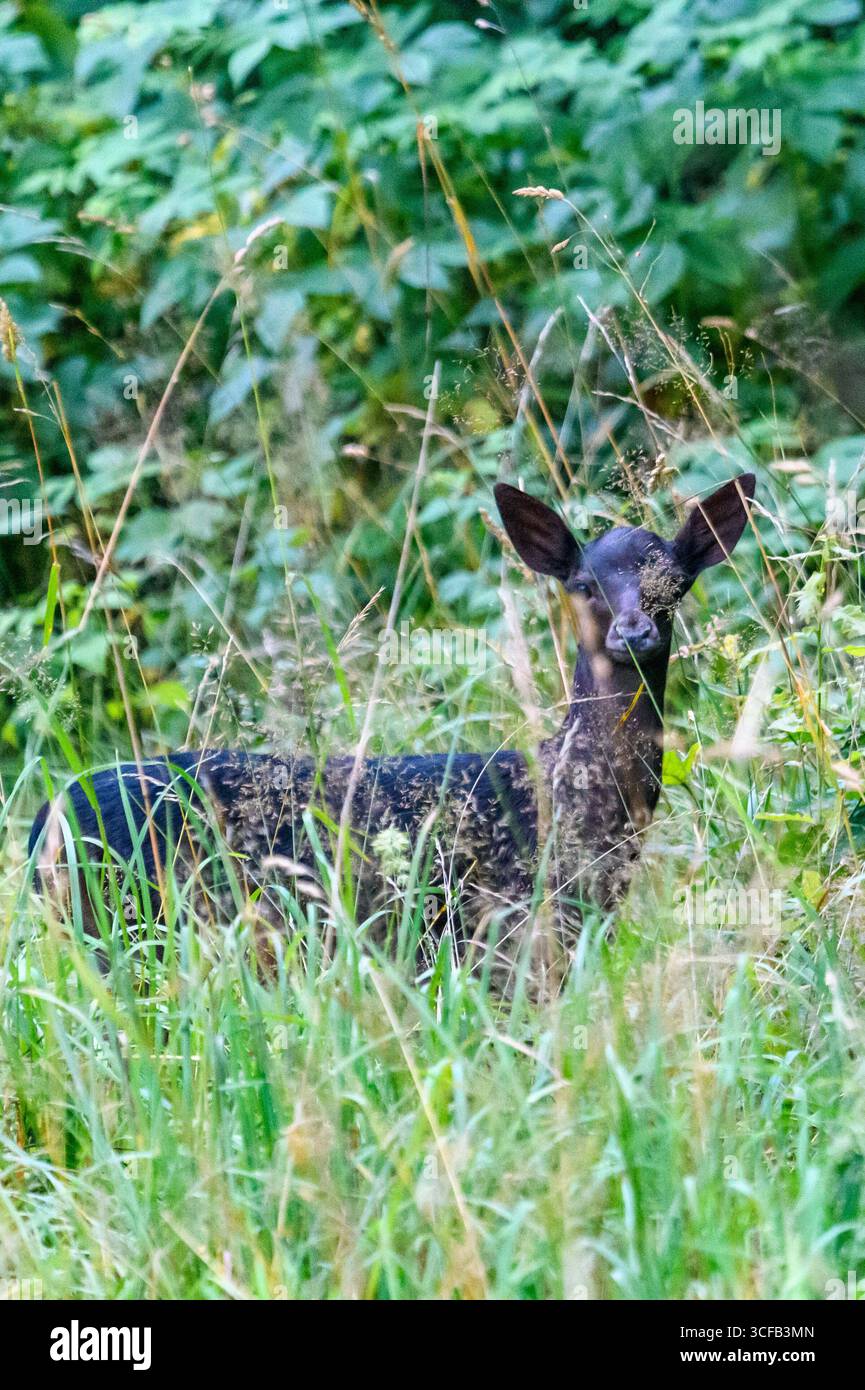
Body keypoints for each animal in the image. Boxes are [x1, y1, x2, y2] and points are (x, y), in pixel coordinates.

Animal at [29, 474, 755, 974]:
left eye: (676, 583)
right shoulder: (503, 929)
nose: (633, 633)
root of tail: (44, 822)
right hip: (130, 925)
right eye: (582, 584)